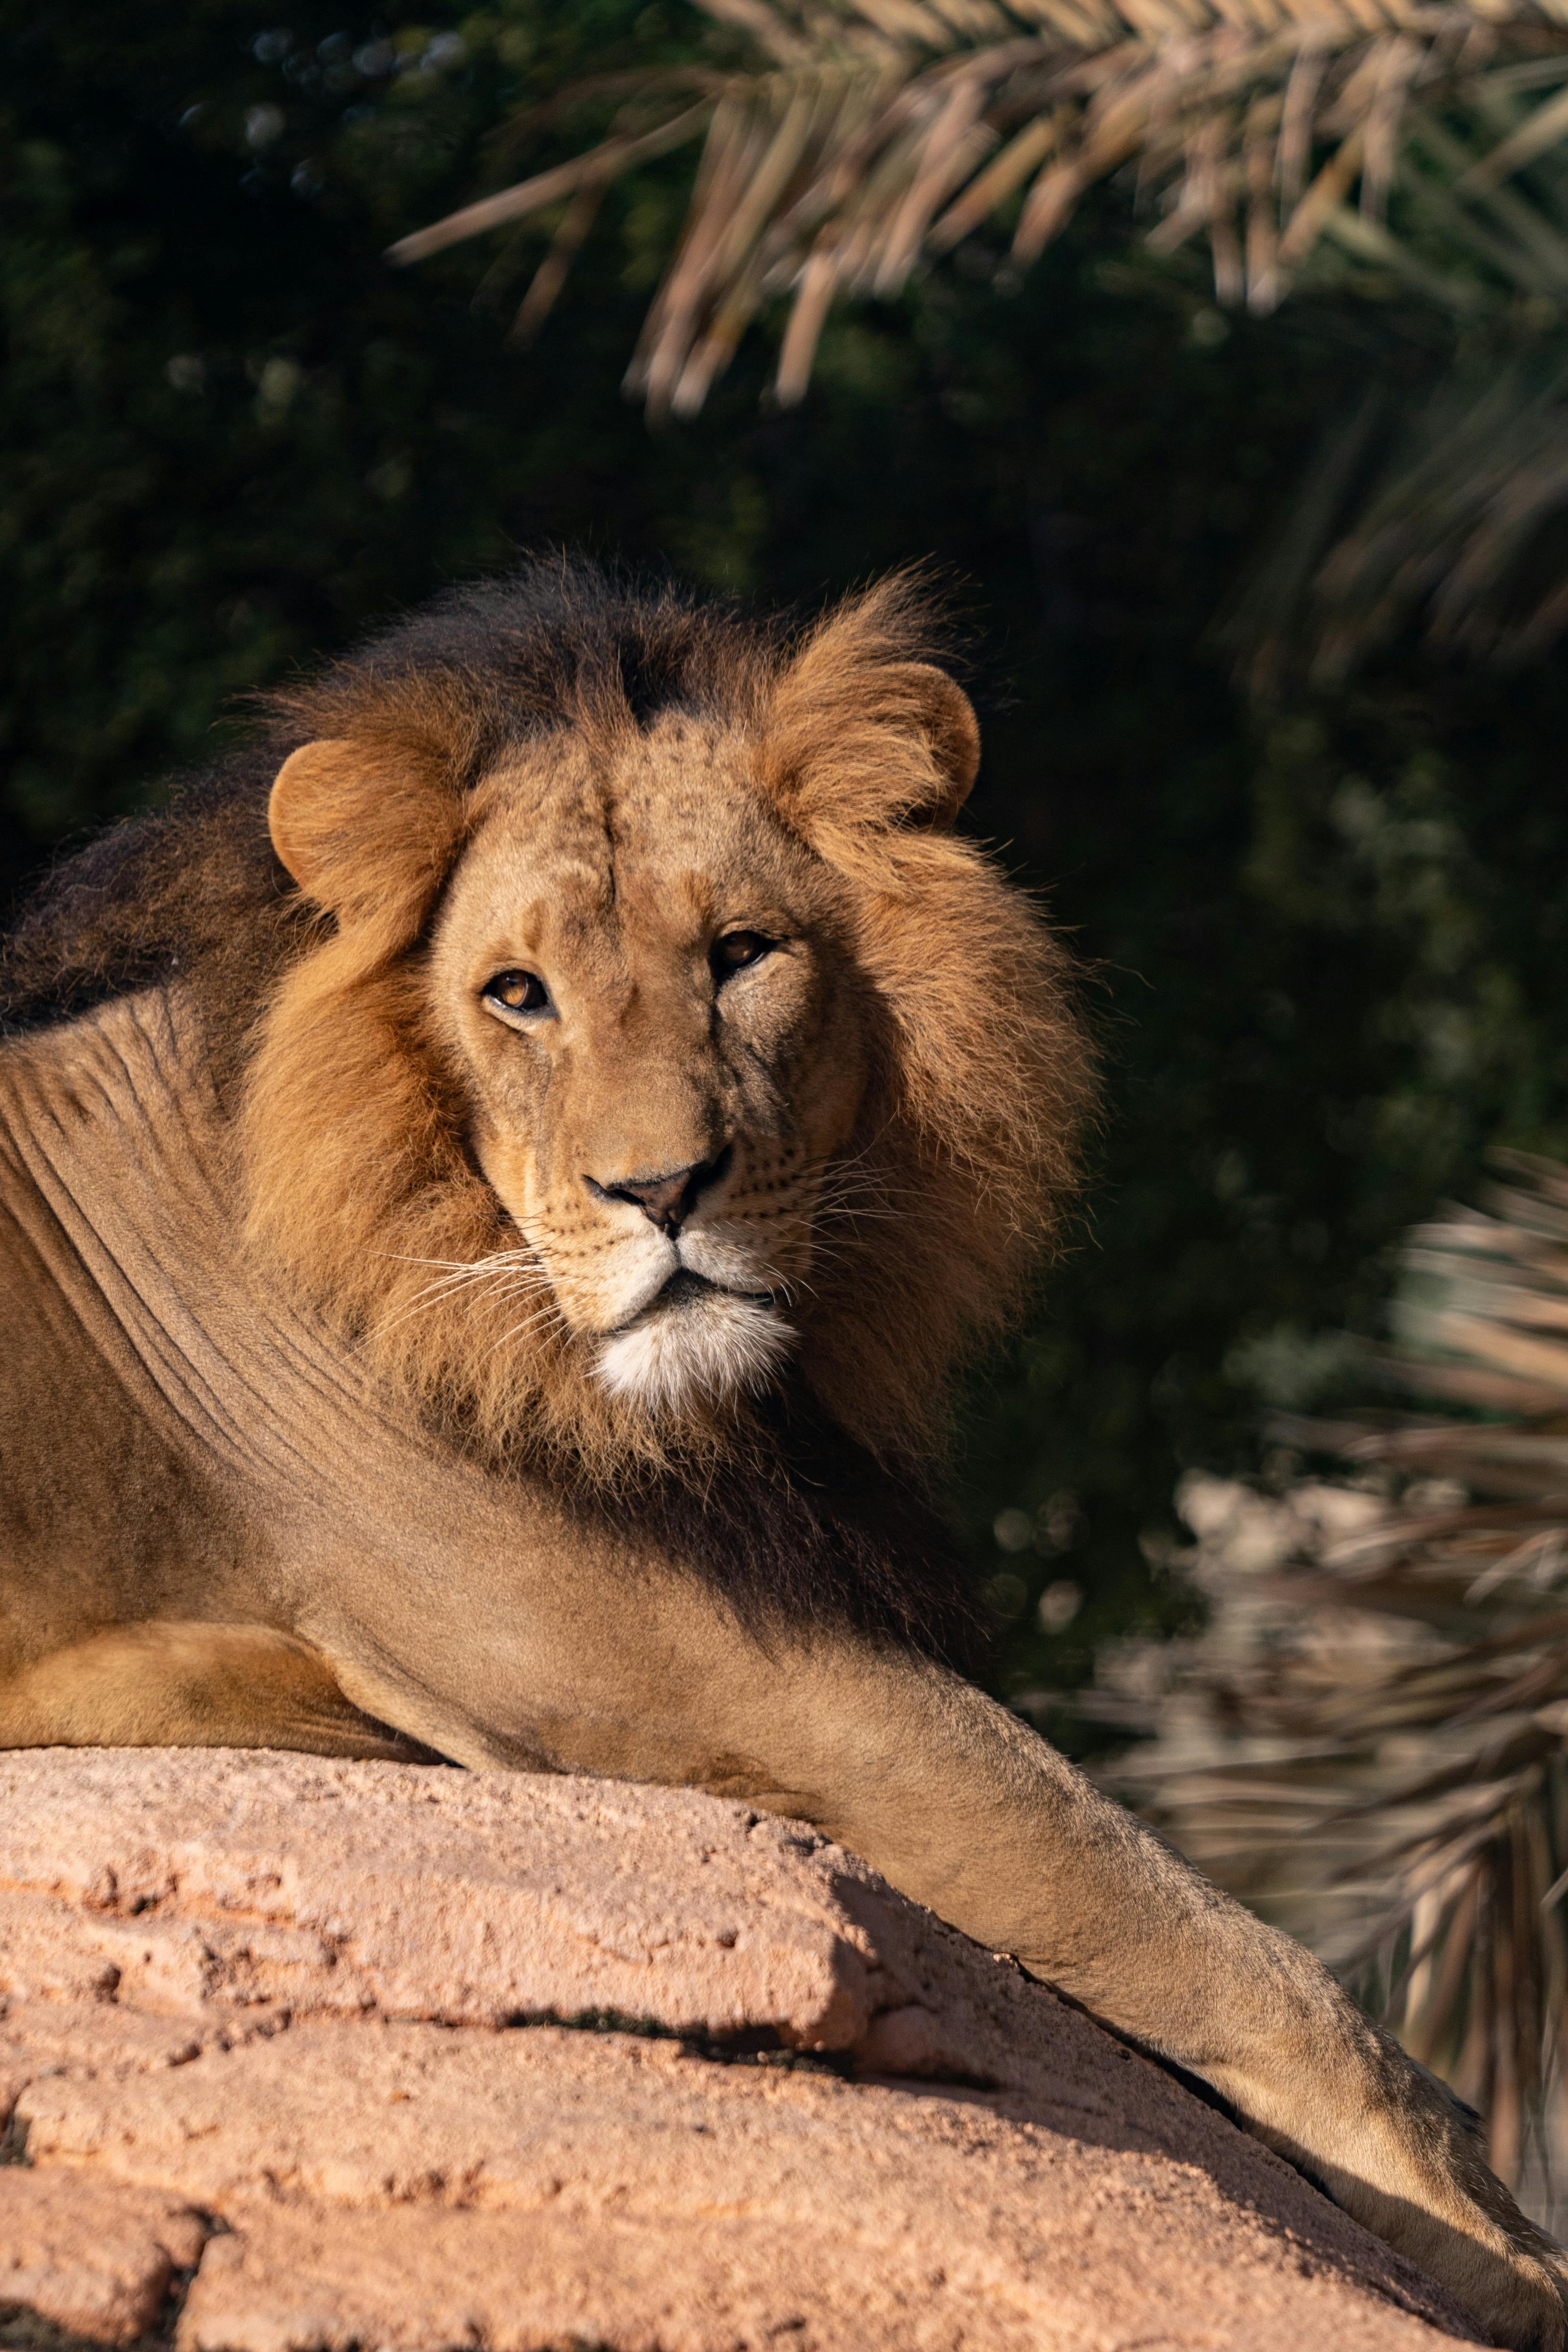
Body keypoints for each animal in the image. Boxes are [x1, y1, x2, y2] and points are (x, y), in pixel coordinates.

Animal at [0, 559, 1562, 2345]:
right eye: (515, 994)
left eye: (740, 955)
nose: (660, 1190)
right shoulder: (682, 1675)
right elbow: (1180, 1916)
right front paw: (1504, 2249)